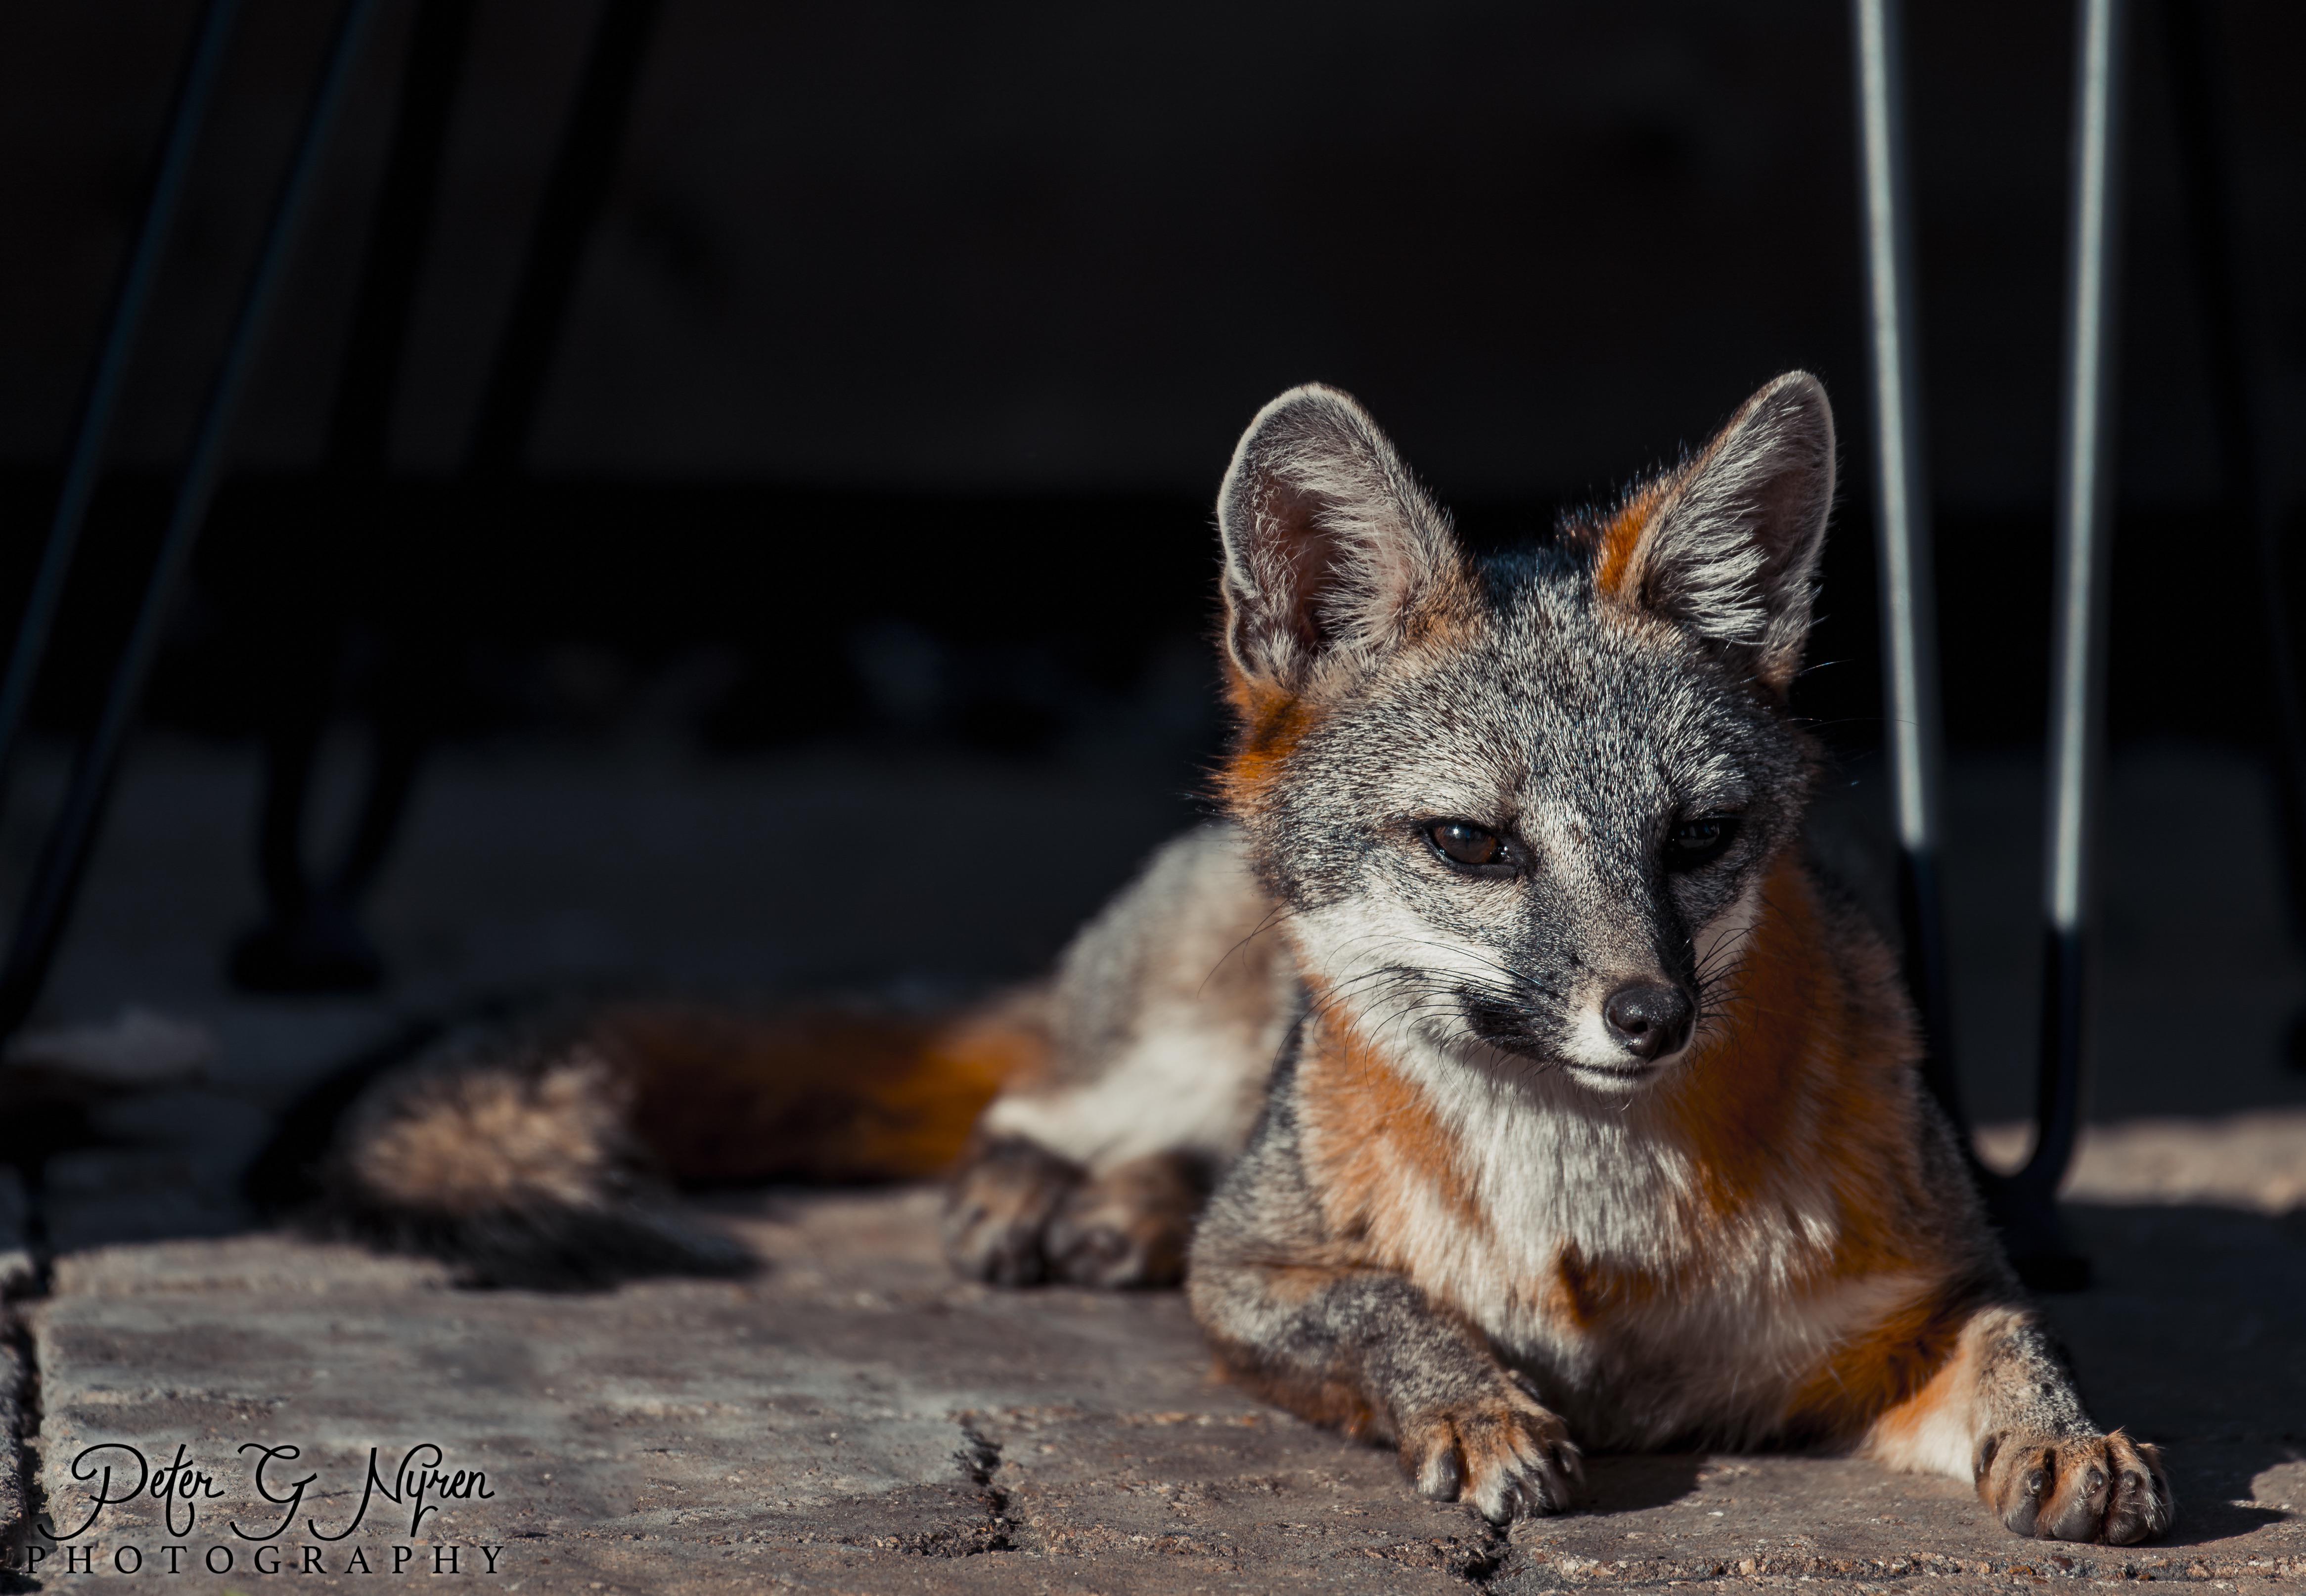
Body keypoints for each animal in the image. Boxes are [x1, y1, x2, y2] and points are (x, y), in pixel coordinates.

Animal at [256, 372, 2172, 1546]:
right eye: (1474, 845)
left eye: (1698, 839)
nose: (1647, 1012)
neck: (1598, 1234)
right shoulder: (1252, 1275)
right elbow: (1381, 1301)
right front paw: (1470, 1396)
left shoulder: (1917, 1288)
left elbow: (2018, 1332)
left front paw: (2066, 1429)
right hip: (1186, 1043)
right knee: (1033, 1101)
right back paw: (1046, 1195)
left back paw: (1107, 1209)